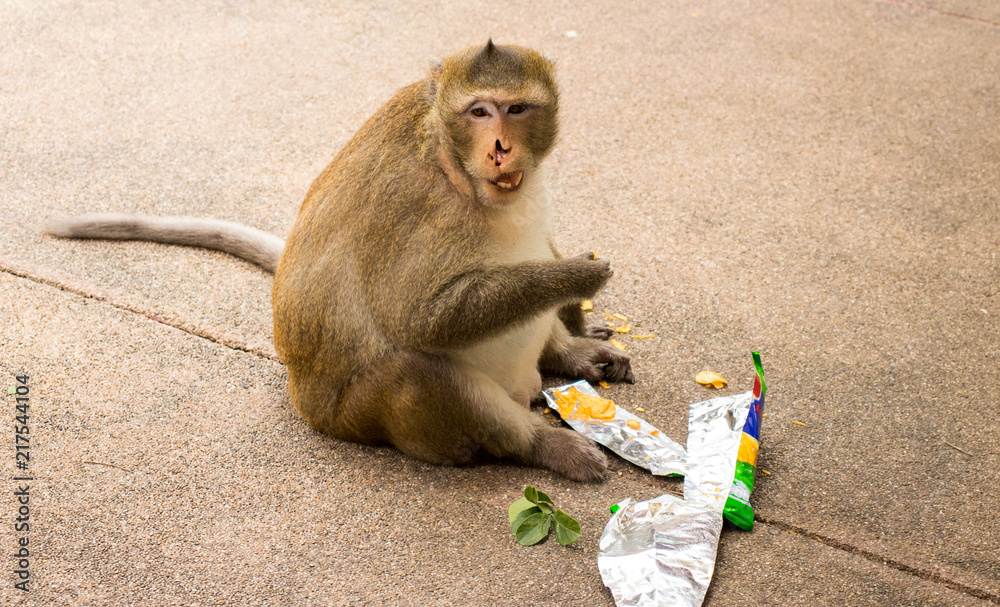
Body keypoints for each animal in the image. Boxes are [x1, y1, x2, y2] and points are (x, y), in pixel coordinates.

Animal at [44, 41, 634, 482]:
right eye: (479, 111)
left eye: (516, 109)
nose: (499, 148)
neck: (456, 164)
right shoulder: (413, 204)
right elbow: (418, 320)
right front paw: (579, 276)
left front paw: (576, 316)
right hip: (366, 418)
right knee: (414, 369)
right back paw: (542, 445)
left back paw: (570, 354)